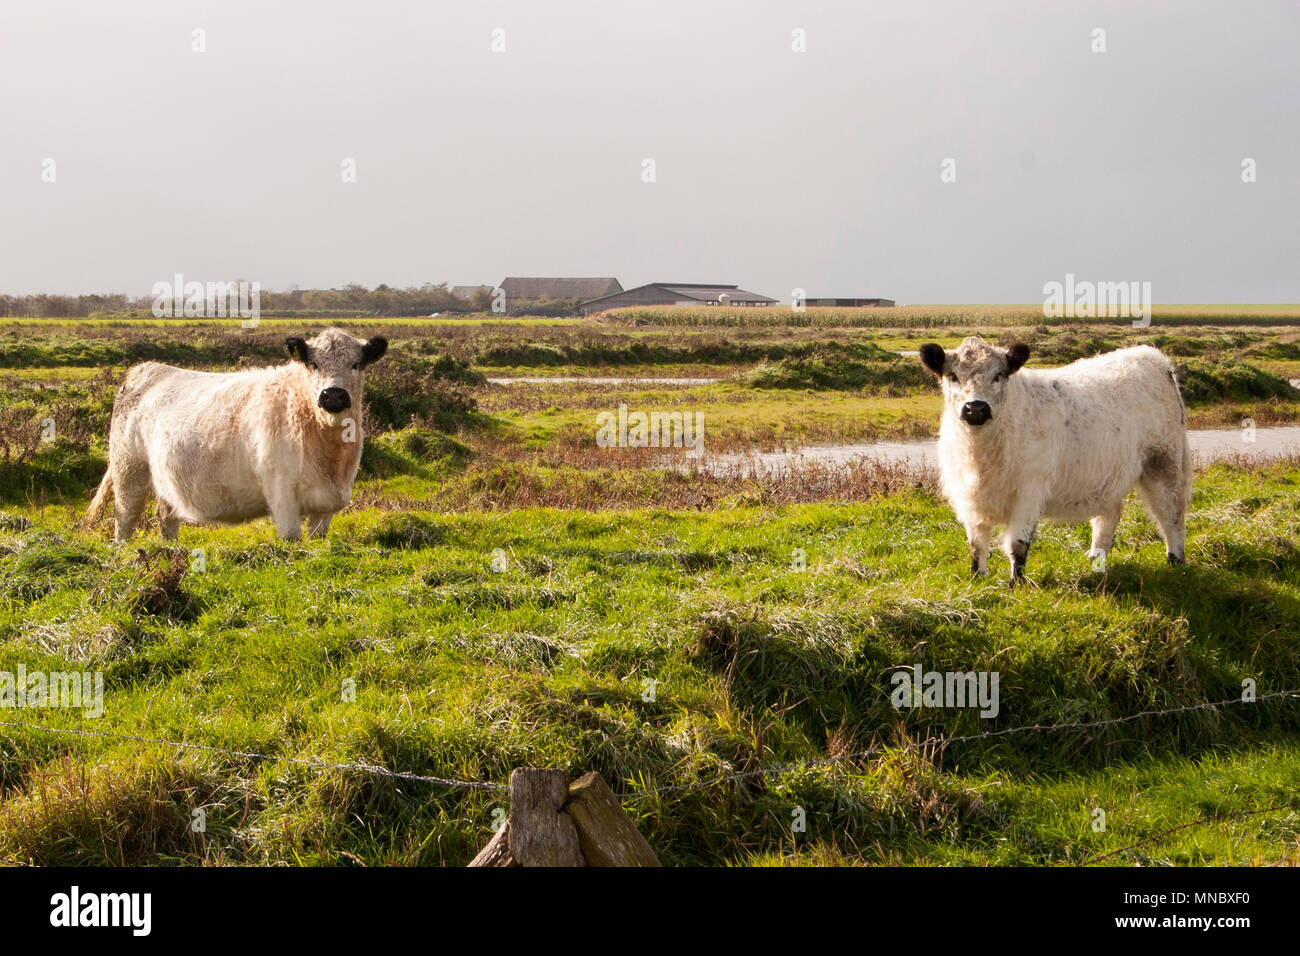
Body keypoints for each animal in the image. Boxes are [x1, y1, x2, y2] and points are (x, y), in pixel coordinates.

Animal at [84, 328, 388, 541]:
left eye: (357, 364)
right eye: (313, 364)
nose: (333, 395)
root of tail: (147, 369)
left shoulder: (326, 506)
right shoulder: (281, 493)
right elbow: (291, 539)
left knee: (166, 516)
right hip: (129, 469)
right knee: (124, 519)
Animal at [918, 336, 1192, 586]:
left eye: (998, 375)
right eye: (953, 375)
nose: (975, 408)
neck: (980, 457)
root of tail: (1152, 356)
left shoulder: (1029, 492)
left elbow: (1018, 544)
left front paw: (1016, 584)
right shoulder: (969, 497)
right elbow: (976, 543)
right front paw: (977, 578)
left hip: (1164, 463)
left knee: (1171, 515)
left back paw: (1175, 561)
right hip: (1108, 474)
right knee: (1109, 516)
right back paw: (1096, 559)